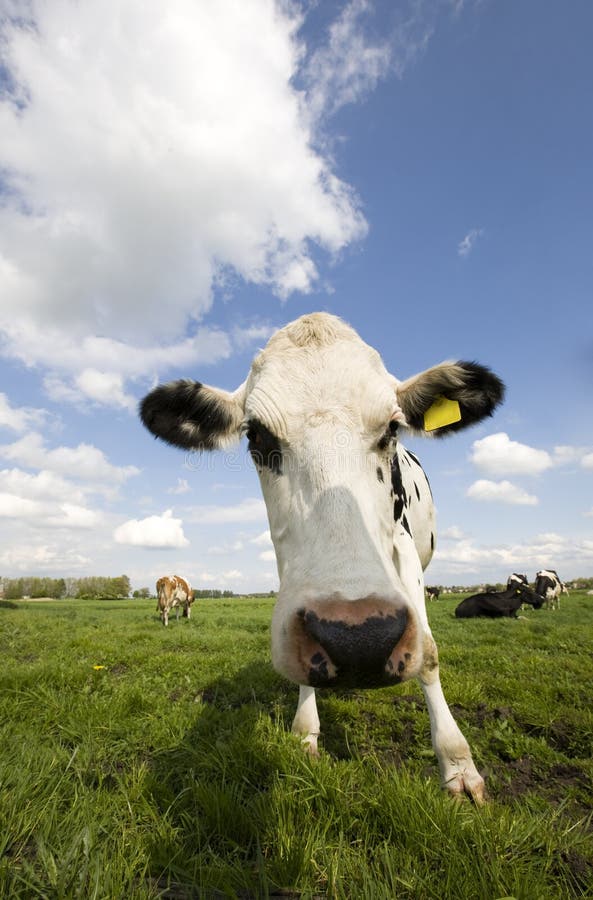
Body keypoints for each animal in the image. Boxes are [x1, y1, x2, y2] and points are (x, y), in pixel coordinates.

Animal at [140, 312, 505, 802]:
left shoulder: (405, 550)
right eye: (256, 434)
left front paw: (458, 764)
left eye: (392, 429)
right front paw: (305, 733)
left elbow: (427, 653)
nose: (357, 639)